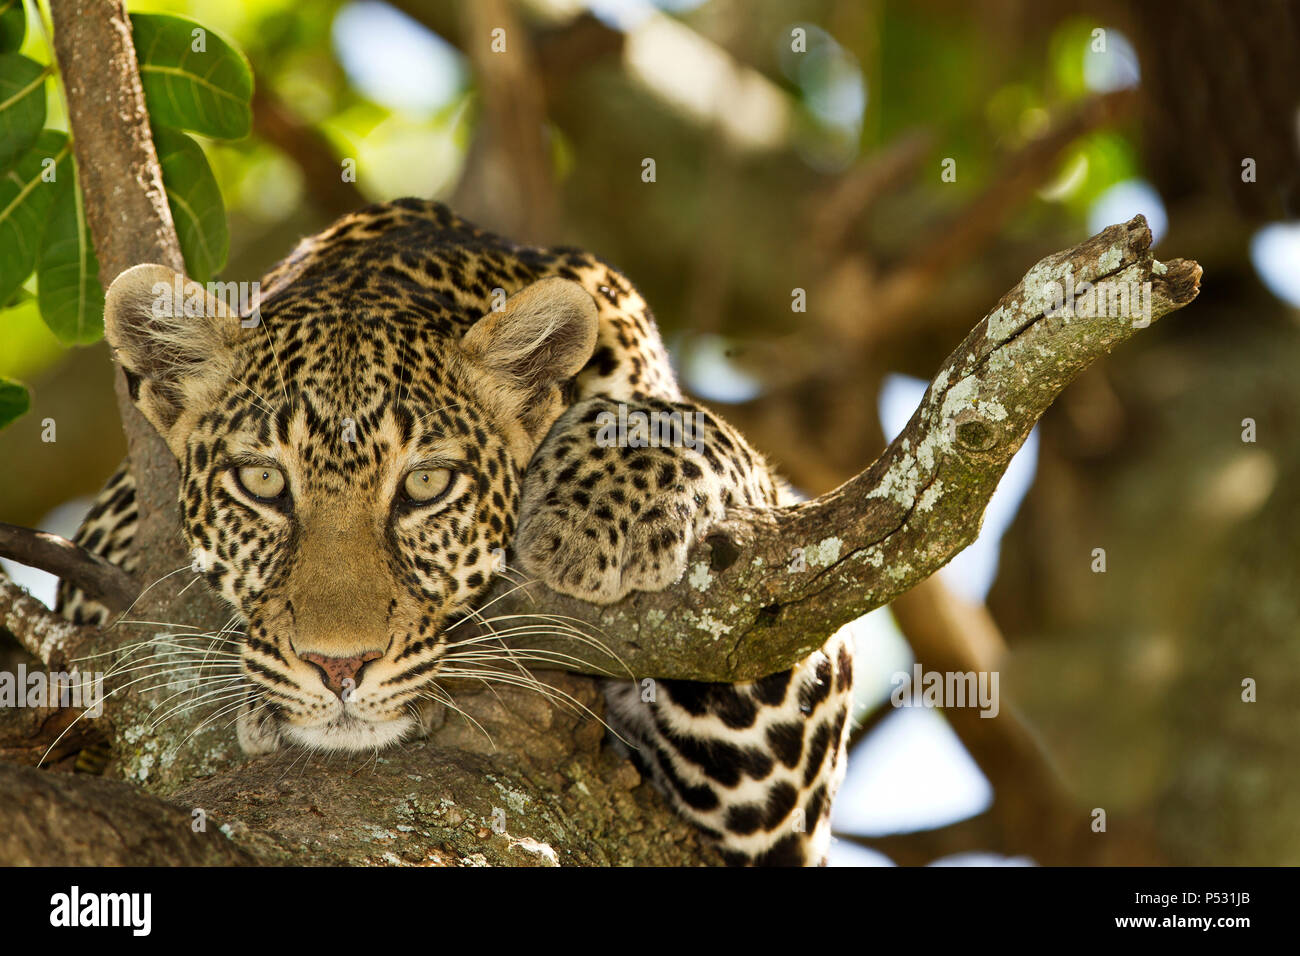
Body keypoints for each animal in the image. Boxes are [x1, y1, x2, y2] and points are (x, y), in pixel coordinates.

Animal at [56, 198, 854, 866]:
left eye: (426, 486)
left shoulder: (772, 803)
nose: (339, 669)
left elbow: (684, 423)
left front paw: (591, 516)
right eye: (262, 483)